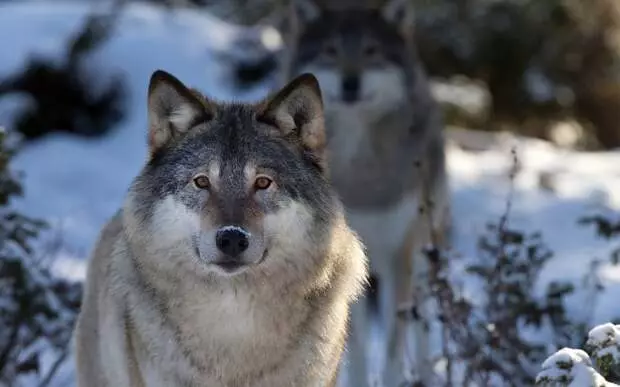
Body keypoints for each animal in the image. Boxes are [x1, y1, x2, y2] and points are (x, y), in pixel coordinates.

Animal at [278, 1, 450, 386]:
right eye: (331, 51)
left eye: (371, 51)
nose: (350, 83)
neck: (361, 171)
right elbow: (352, 342)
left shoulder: (400, 254)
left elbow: (393, 342)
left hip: (423, 256)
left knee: (422, 325)